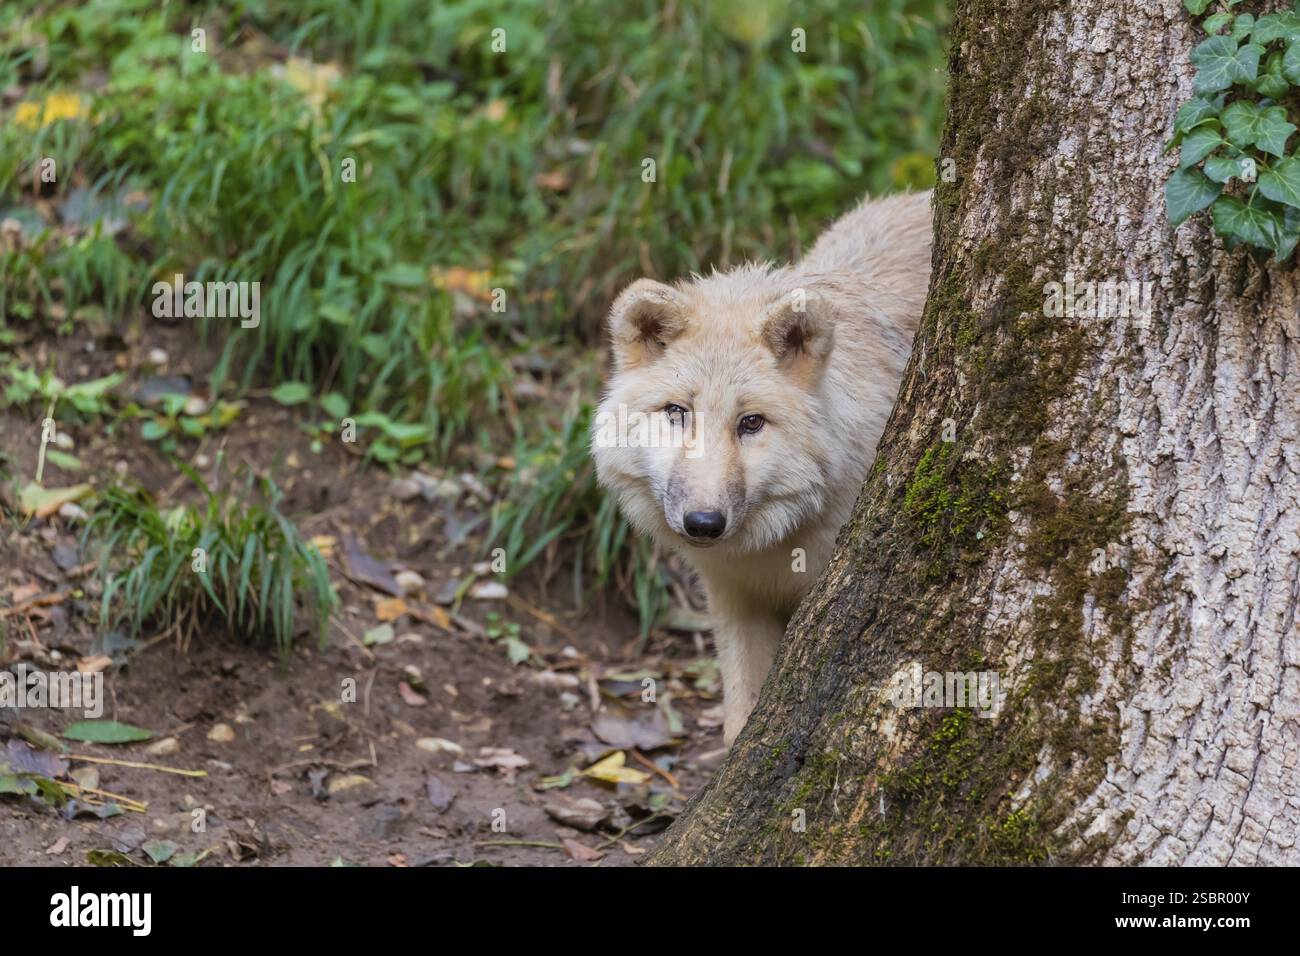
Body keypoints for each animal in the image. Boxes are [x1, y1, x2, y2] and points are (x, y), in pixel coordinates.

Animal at [592, 191, 933, 745]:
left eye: (750, 423)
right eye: (677, 412)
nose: (703, 524)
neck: (776, 550)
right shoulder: (734, 598)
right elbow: (740, 721)